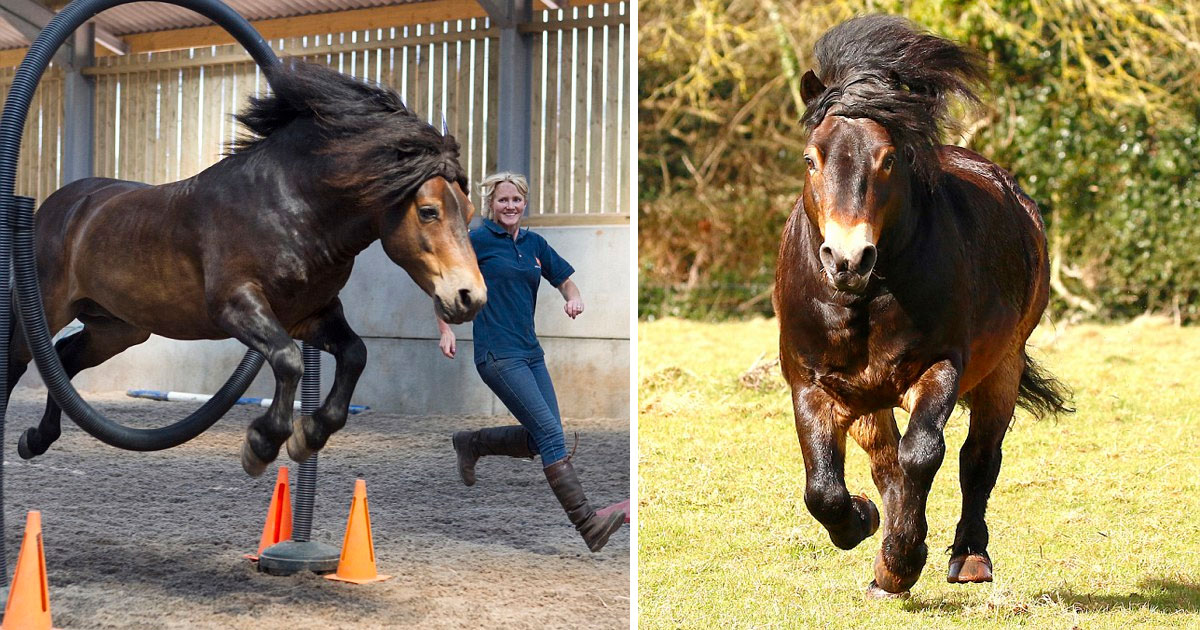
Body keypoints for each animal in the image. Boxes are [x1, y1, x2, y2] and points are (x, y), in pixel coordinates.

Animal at [4, 60, 486, 477]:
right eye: (428, 211)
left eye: (468, 210)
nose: (470, 297)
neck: (290, 205)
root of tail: (60, 204)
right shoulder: (237, 306)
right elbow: (289, 360)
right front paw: (262, 443)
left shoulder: (310, 315)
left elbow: (354, 354)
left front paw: (309, 434)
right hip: (45, 310)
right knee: (17, 361)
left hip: (118, 327)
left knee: (66, 356)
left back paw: (37, 439)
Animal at [773, 16, 1071, 598]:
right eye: (811, 158)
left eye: (890, 159)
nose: (847, 259)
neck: (863, 299)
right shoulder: (812, 385)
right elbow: (825, 487)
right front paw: (867, 524)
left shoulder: (939, 367)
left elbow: (923, 455)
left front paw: (901, 560)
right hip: (868, 396)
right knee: (885, 462)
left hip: (1002, 367)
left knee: (978, 460)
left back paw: (968, 558)